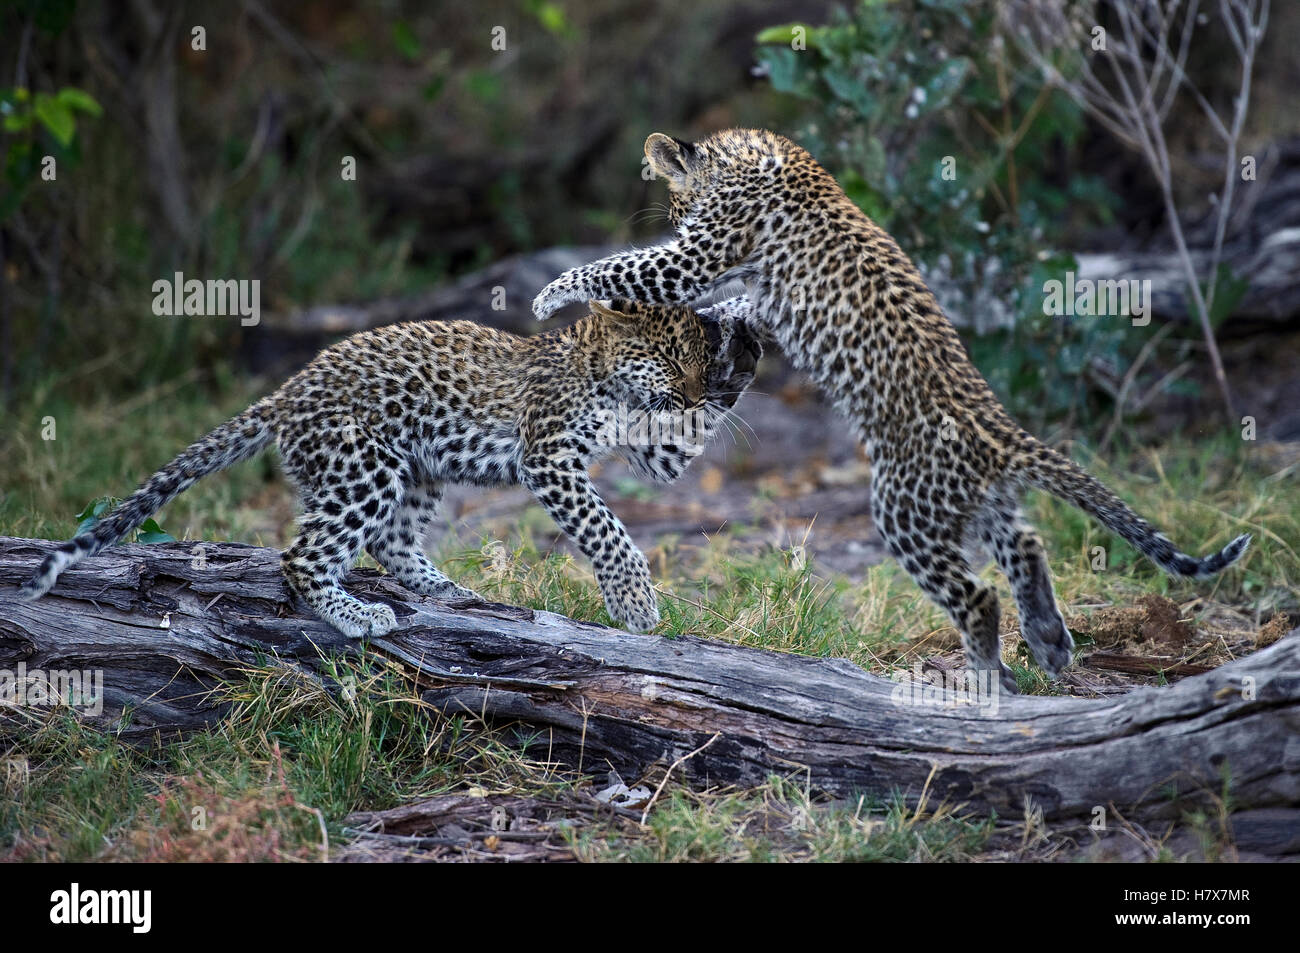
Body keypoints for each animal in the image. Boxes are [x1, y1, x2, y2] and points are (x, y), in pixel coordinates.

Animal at [20, 298, 761, 638]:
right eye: (667, 355)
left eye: (695, 359)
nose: (694, 389)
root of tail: (287, 392)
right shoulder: (549, 457)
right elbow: (608, 529)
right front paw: (635, 603)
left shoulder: (650, 442)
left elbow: (679, 445)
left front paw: (744, 343)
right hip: (363, 465)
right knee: (304, 556)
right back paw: (357, 614)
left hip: (418, 470)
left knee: (391, 540)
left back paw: (448, 590)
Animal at [533, 127, 1250, 693]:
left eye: (678, 205)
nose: (674, 213)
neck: (752, 154)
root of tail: (1002, 430)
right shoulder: (735, 276)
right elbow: (735, 302)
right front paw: (719, 323)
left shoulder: (697, 255)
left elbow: (624, 266)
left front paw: (551, 293)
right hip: (972, 499)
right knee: (1025, 544)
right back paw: (1049, 640)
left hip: (904, 506)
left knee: (979, 594)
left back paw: (992, 676)